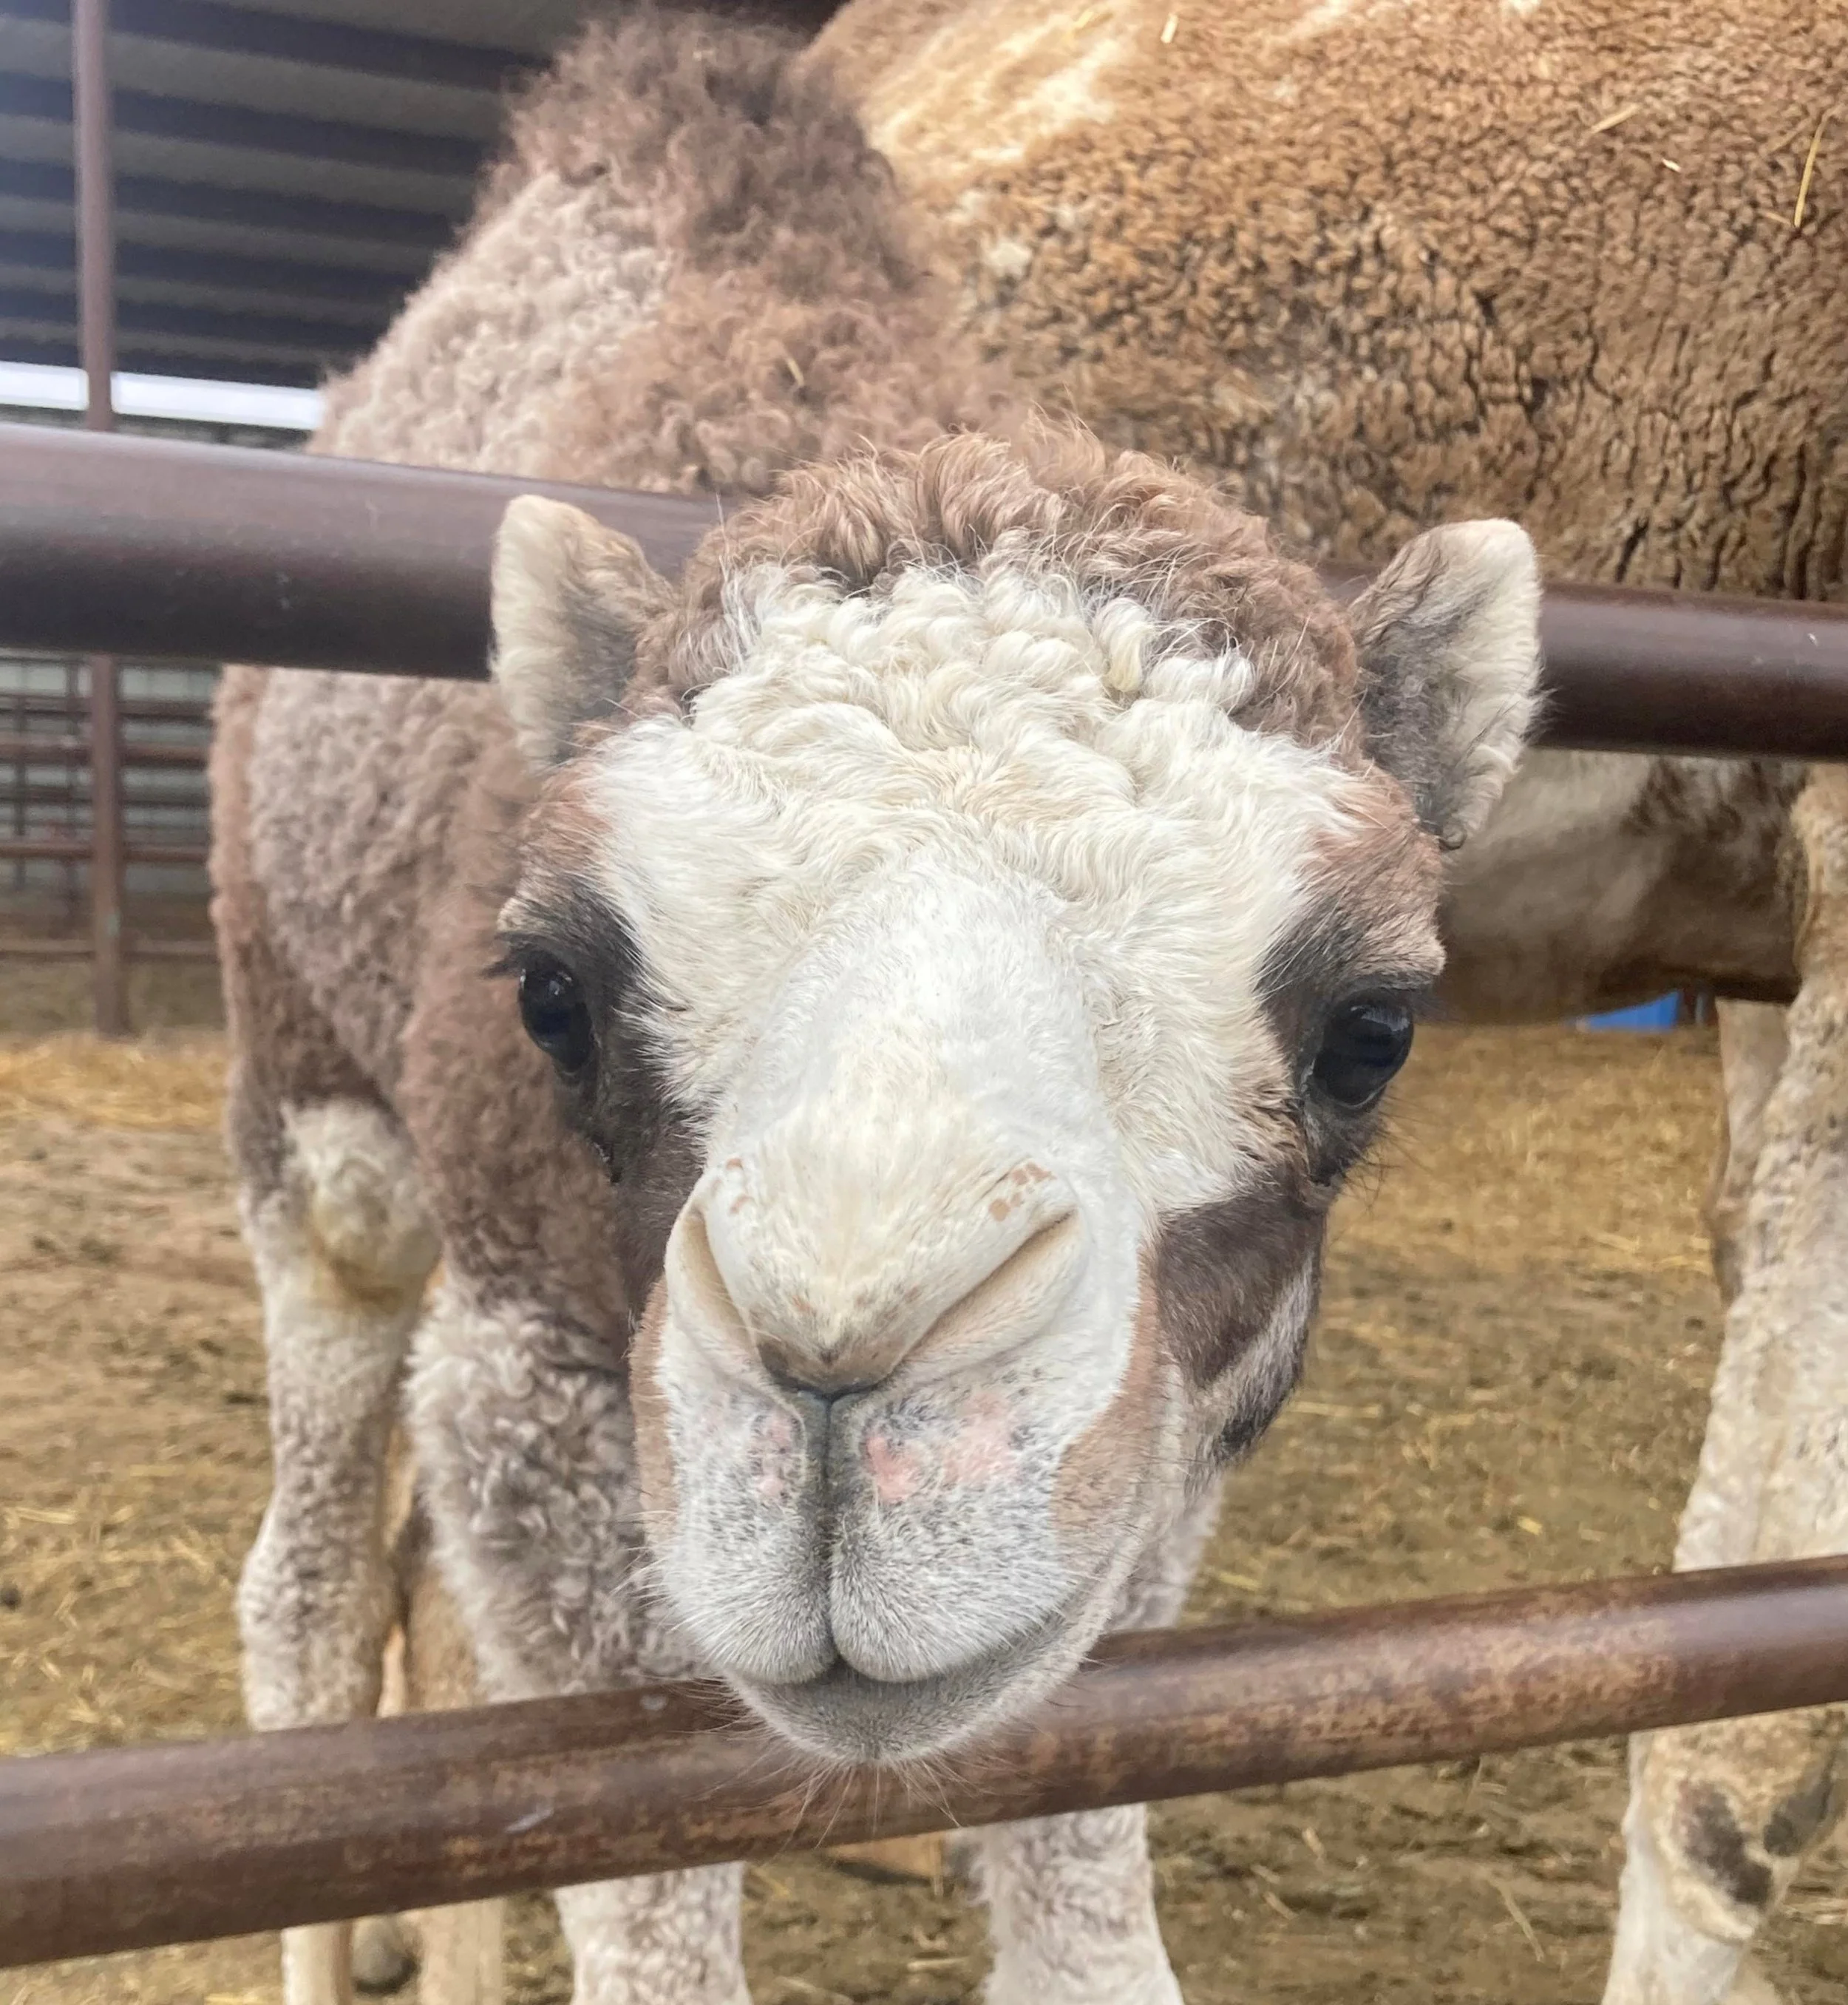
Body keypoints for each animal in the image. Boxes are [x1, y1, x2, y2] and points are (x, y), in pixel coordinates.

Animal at [209, 12, 1542, 2004]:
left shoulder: (1158, 1459)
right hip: (316, 1110)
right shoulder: (533, 1359)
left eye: (1369, 1032)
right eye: (550, 993)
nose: (847, 1375)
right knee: (304, 1580)